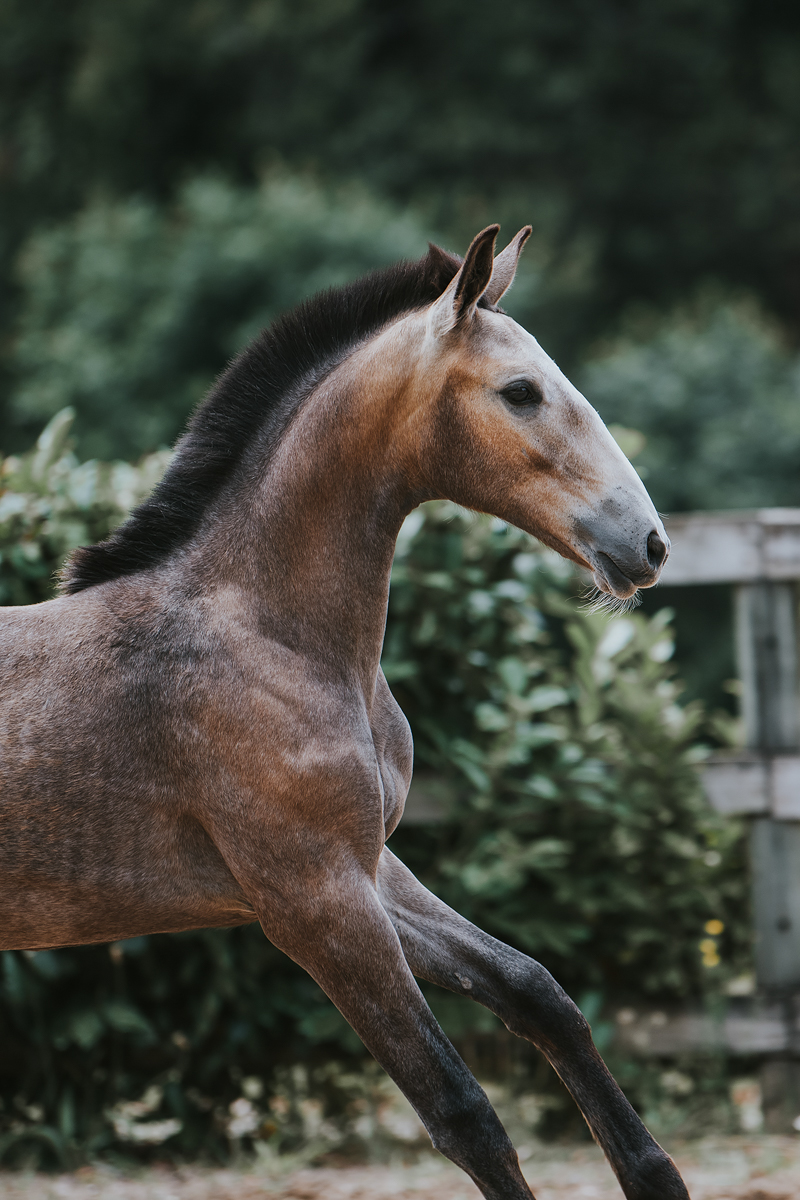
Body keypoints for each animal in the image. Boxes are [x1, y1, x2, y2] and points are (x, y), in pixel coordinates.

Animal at [0, 225, 686, 1200]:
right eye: (521, 391)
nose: (648, 544)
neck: (272, 636)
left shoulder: (368, 867)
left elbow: (537, 993)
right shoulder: (313, 899)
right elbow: (461, 1111)